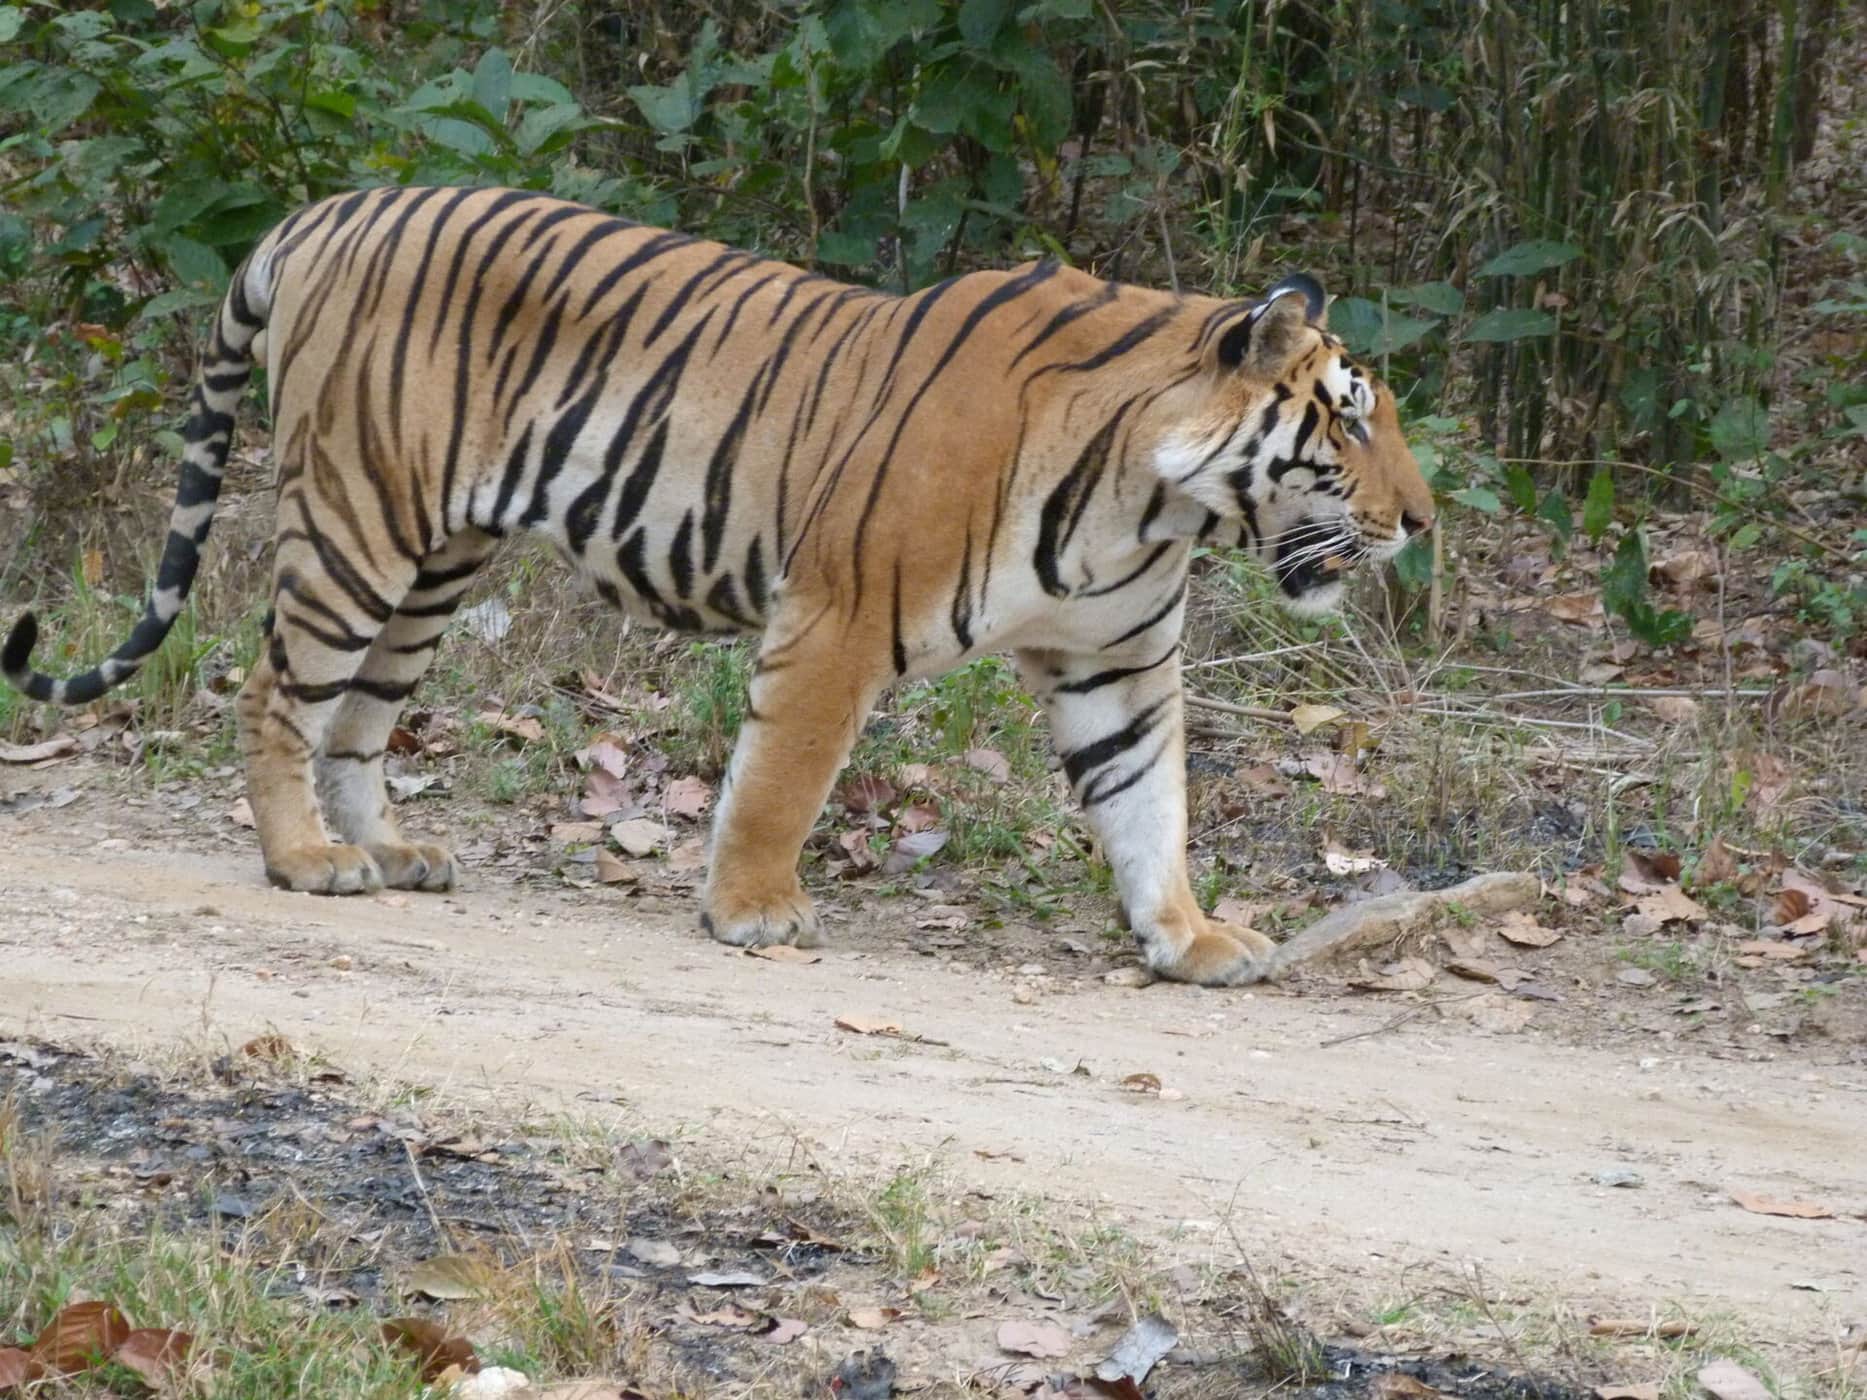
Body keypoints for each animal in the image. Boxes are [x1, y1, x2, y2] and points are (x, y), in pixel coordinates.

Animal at [4, 186, 1433, 987]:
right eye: (1351, 415)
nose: (1420, 522)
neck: (1154, 500)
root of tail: (324, 210)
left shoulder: (1119, 663)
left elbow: (1150, 806)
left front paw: (1189, 938)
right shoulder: (838, 617)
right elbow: (781, 778)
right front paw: (752, 911)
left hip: (437, 561)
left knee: (356, 718)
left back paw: (388, 851)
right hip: (360, 522)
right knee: (274, 693)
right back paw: (305, 861)